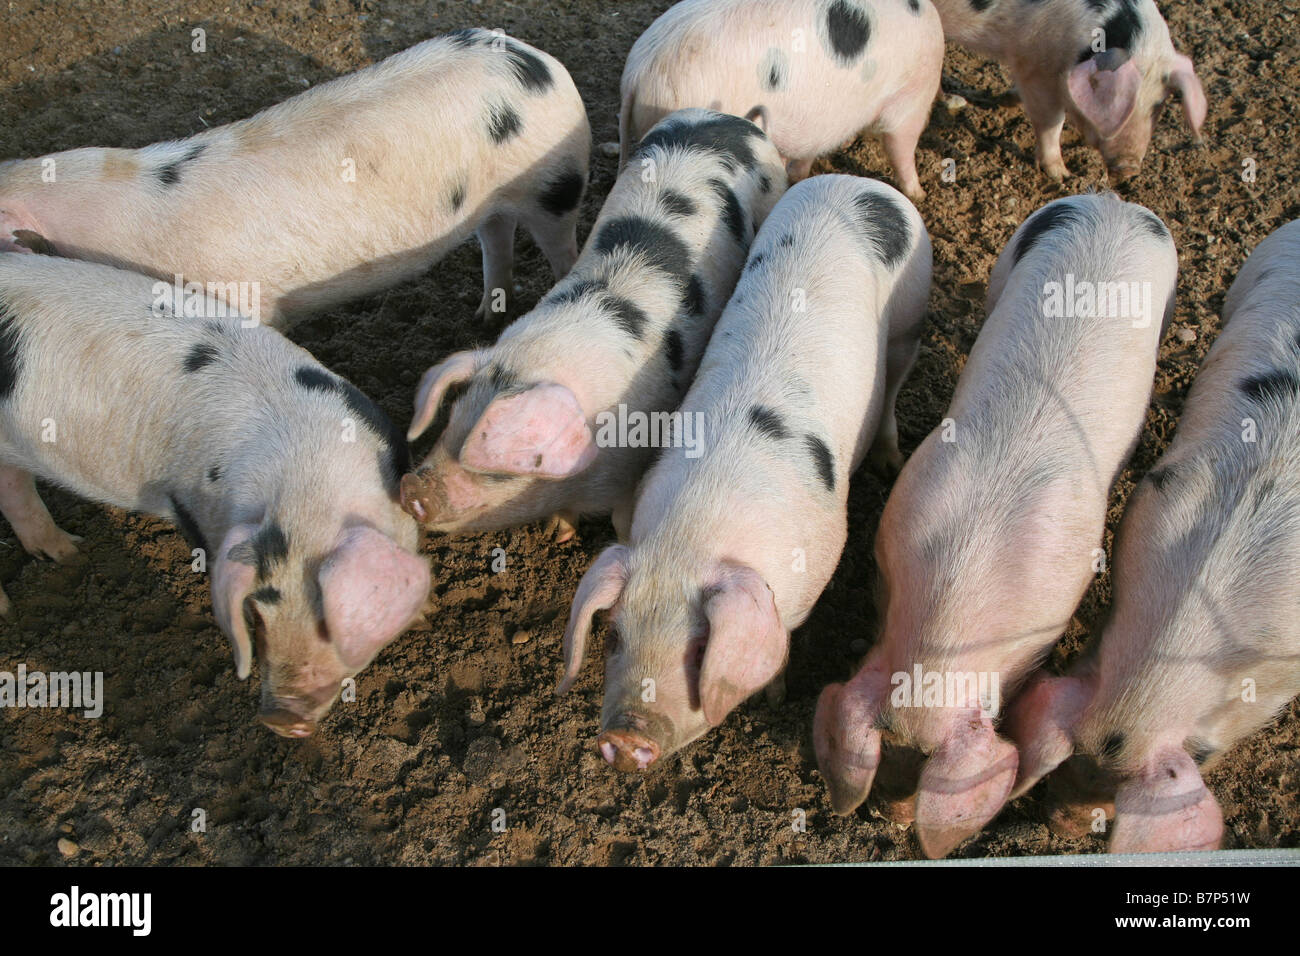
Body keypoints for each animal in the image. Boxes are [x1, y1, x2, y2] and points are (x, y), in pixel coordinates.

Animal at [0, 28, 590, 324]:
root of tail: (536, 60)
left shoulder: (246, 301)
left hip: (556, 185)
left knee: (562, 247)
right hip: (491, 200)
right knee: (496, 236)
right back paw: (483, 319)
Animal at [0, 253, 430, 737]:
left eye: (330, 620)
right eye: (257, 614)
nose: (280, 719)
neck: (308, 478)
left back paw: (71, 554)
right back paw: (9, 608)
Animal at [400, 109, 788, 541]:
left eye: (500, 472)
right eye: (451, 418)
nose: (409, 489)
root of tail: (733, 118)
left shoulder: (633, 464)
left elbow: (622, 518)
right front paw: (558, 531)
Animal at [557, 174, 932, 770]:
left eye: (698, 650)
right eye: (614, 636)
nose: (625, 739)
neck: (692, 536)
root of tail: (855, 182)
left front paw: (775, 696)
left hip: (911, 318)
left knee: (896, 380)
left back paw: (890, 458)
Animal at [930, 0, 1207, 181]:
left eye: (1157, 105)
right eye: (1118, 105)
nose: (1129, 168)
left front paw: (1007, 99)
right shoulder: (1036, 66)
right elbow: (1051, 122)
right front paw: (1062, 176)